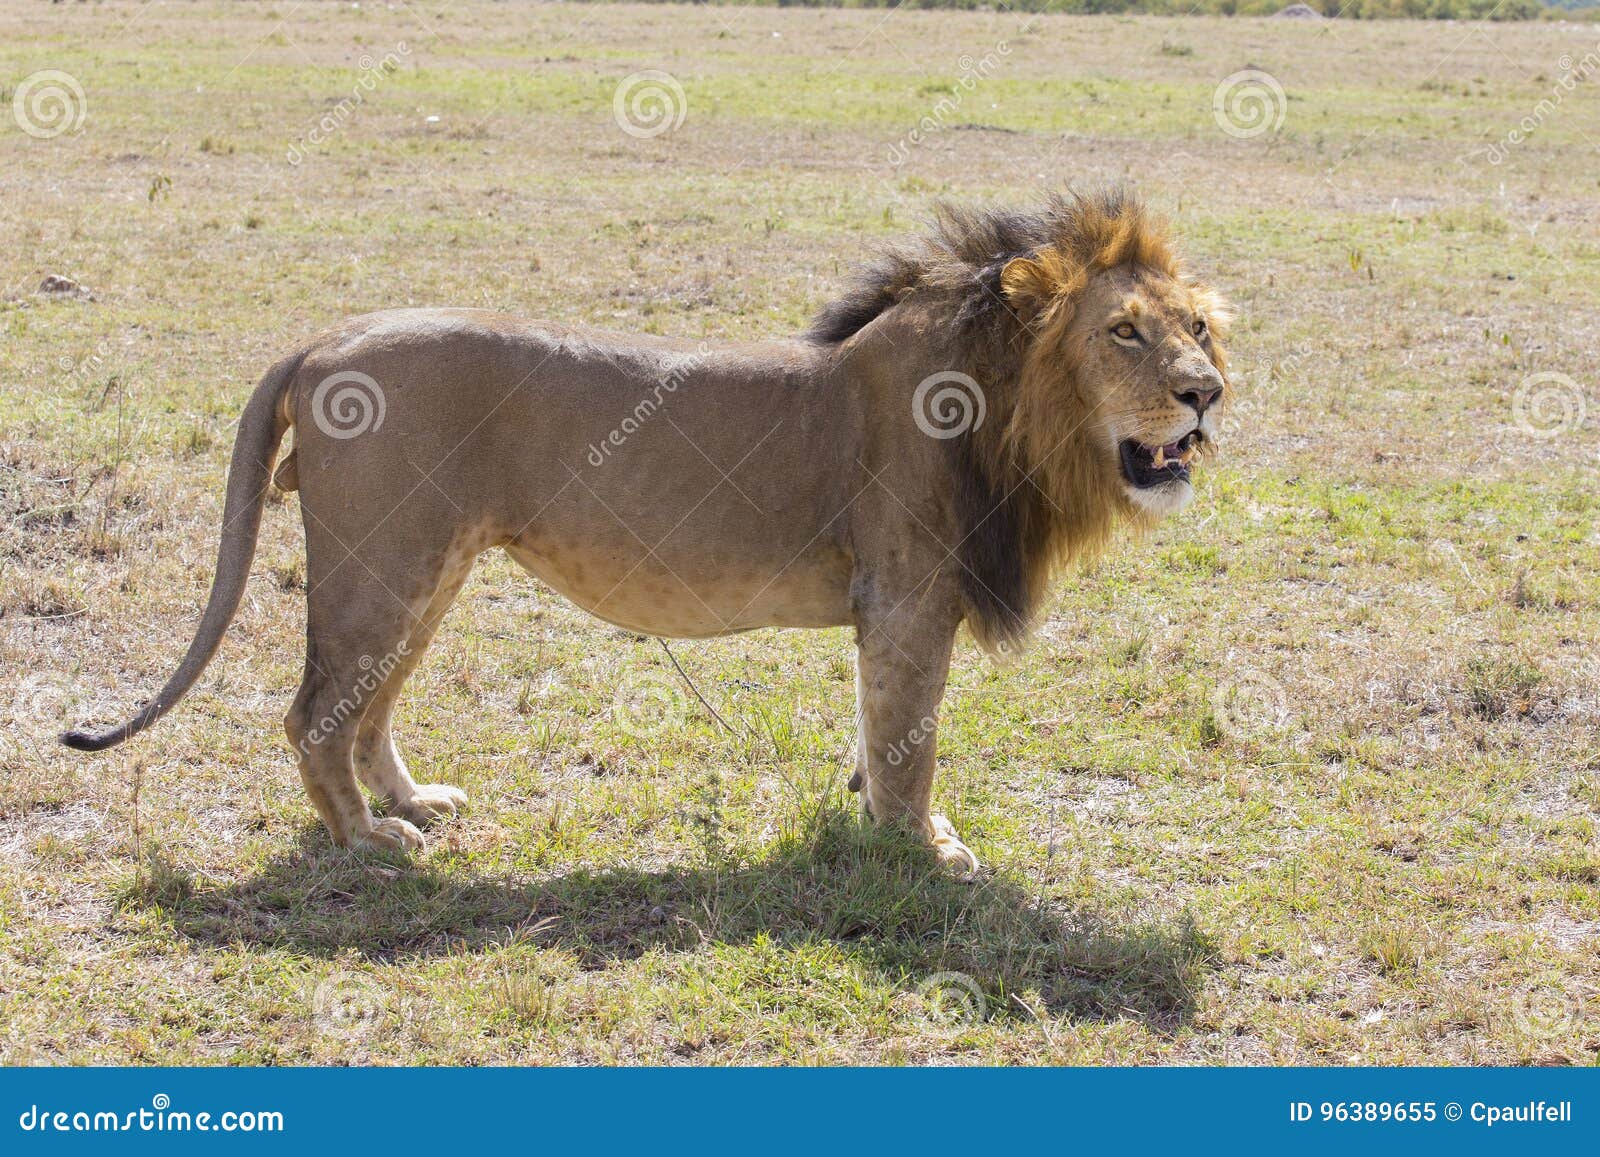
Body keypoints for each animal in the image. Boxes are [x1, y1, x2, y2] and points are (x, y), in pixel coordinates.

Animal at [62, 187, 1232, 874]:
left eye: (1198, 328)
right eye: (1125, 333)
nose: (1206, 394)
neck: (1005, 406)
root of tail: (325, 337)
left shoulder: (899, 609)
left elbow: (880, 732)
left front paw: (877, 814)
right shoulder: (907, 597)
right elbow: (913, 739)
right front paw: (924, 848)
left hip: (429, 568)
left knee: (368, 704)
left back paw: (414, 801)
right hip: (383, 564)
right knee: (313, 713)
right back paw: (370, 839)